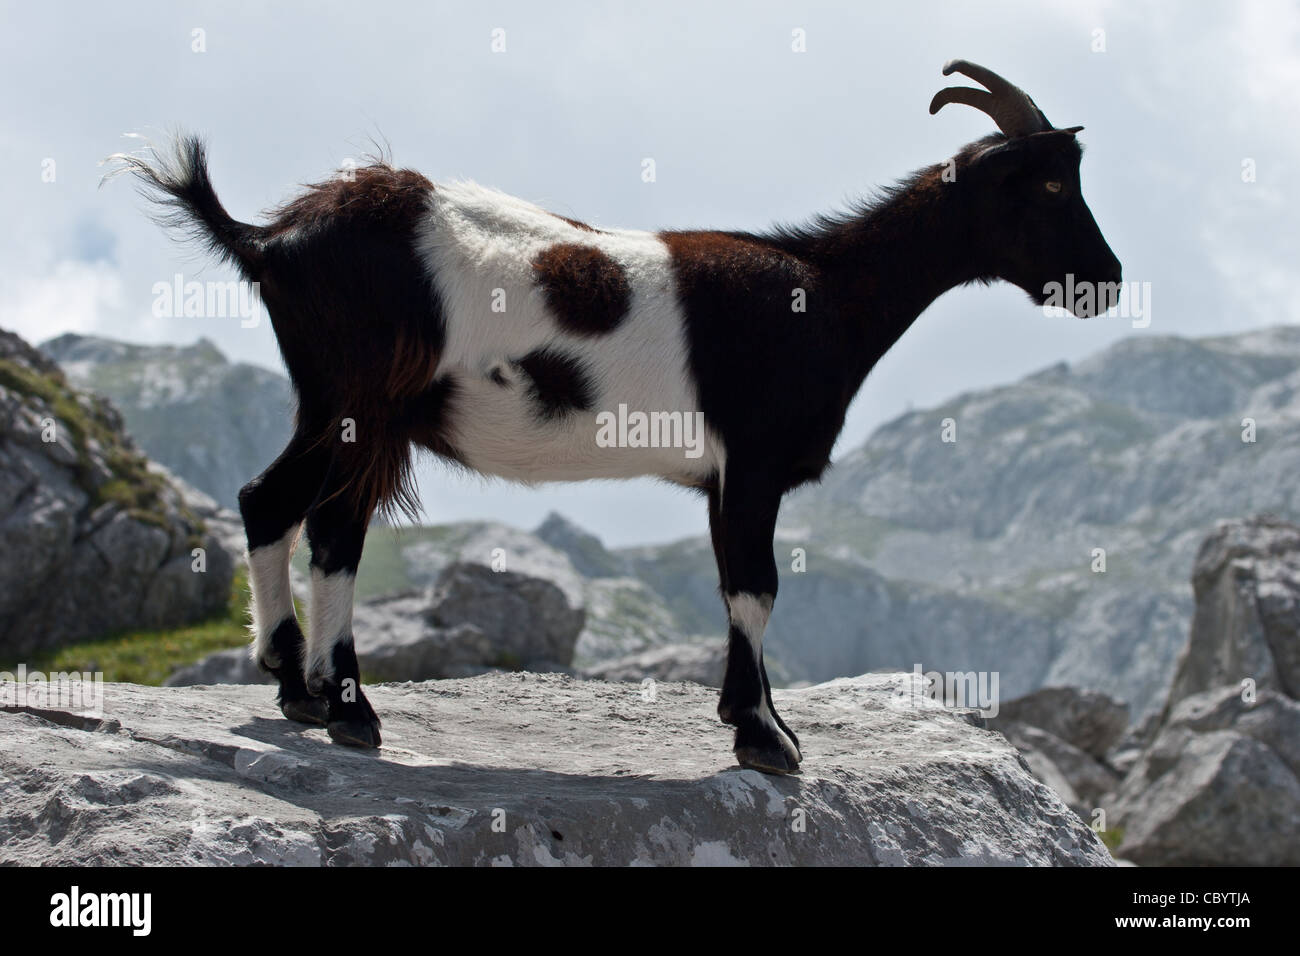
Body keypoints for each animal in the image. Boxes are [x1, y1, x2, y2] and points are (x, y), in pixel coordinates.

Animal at [111, 60, 1121, 774]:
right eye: (1047, 188)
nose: (1107, 280)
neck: (827, 294)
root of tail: (271, 236)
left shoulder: (720, 478)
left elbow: (734, 586)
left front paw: (755, 718)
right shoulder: (754, 464)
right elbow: (756, 588)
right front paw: (766, 741)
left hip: (323, 396)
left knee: (266, 499)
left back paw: (295, 684)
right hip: (368, 401)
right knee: (331, 528)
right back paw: (351, 708)